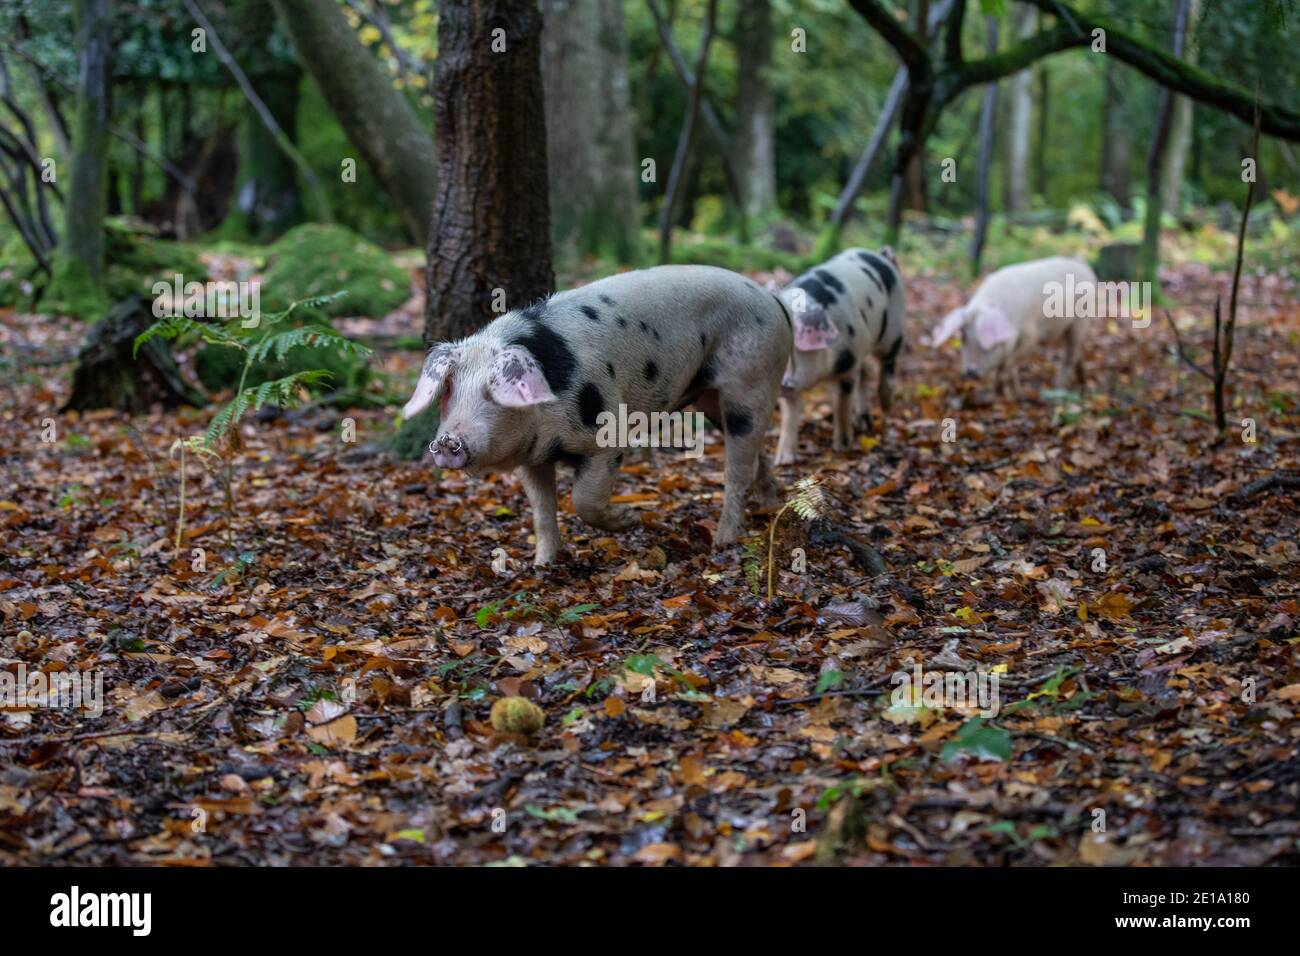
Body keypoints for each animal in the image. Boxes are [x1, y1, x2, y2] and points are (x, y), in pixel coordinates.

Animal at [403, 265, 792, 566]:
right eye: (449, 389)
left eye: (494, 392)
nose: (447, 441)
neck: (546, 435)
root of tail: (773, 301)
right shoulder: (532, 458)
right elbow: (541, 510)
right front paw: (542, 565)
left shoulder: (607, 438)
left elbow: (583, 500)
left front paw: (630, 519)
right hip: (711, 398)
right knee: (754, 453)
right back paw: (772, 504)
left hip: (752, 381)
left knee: (737, 468)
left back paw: (724, 539)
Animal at [773, 247, 906, 465]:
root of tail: (882, 256)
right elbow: (790, 417)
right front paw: (782, 461)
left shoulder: (849, 363)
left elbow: (842, 405)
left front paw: (842, 447)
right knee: (867, 372)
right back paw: (864, 422)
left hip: (894, 330)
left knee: (887, 364)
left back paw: (886, 407)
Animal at [929, 256, 1094, 396]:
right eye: (964, 338)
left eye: (987, 343)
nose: (971, 371)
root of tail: (1083, 265)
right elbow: (1009, 367)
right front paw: (1012, 394)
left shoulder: (1030, 336)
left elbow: (1008, 364)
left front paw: (1003, 392)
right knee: (1077, 352)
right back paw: (1082, 385)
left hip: (1082, 320)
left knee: (1071, 354)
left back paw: (1058, 387)